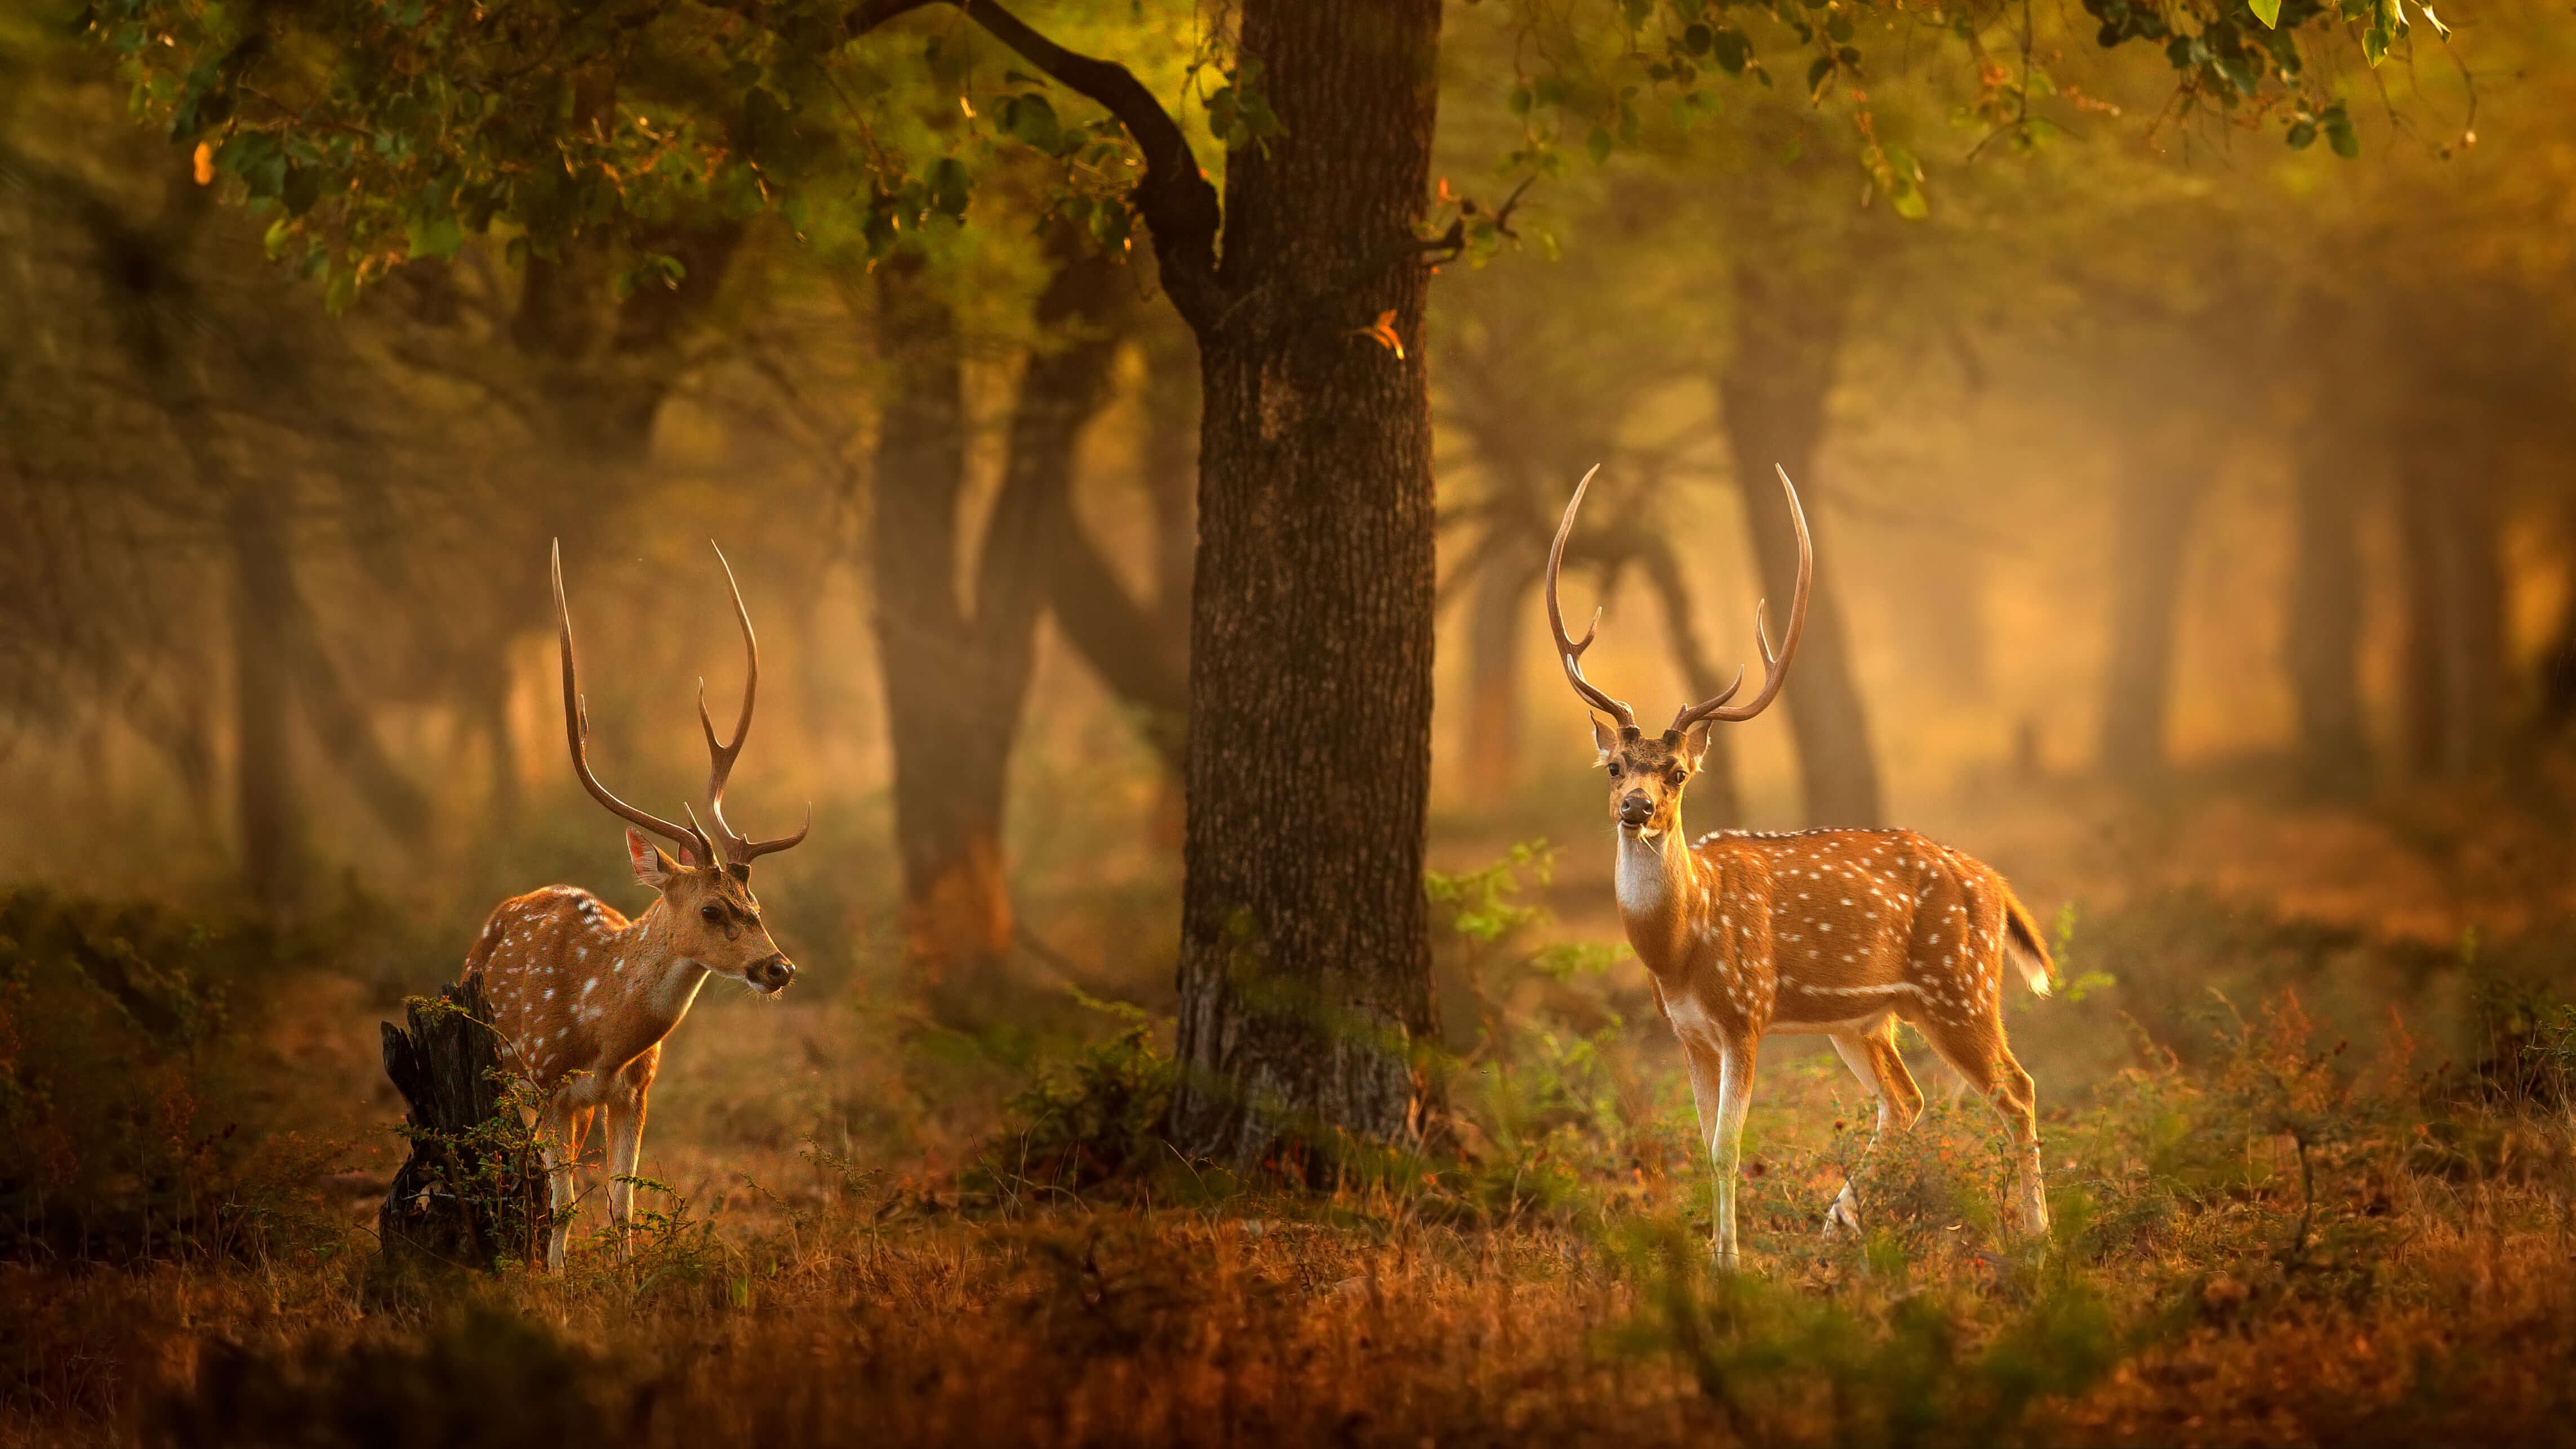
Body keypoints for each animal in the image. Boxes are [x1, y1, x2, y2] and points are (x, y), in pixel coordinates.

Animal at [459, 540, 811, 1270]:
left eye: (754, 900)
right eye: (711, 909)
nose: (779, 968)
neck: (601, 1032)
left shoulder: (636, 1089)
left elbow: (622, 1204)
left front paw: (625, 1282)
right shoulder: (543, 1080)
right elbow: (562, 1202)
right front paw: (555, 1286)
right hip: (497, 1070)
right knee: (520, 1173)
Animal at [1545, 465, 2056, 1270]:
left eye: (1679, 773)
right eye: (1615, 765)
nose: (1635, 806)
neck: (1679, 947)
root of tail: (1995, 884)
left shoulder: (1744, 1013)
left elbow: (1727, 1147)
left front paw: (1728, 1263)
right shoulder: (1687, 1032)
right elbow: (1704, 1145)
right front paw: (1720, 1250)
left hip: (1960, 986)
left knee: (2017, 1087)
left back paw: (2037, 1235)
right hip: (1866, 1016)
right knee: (1906, 1099)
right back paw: (1837, 1223)